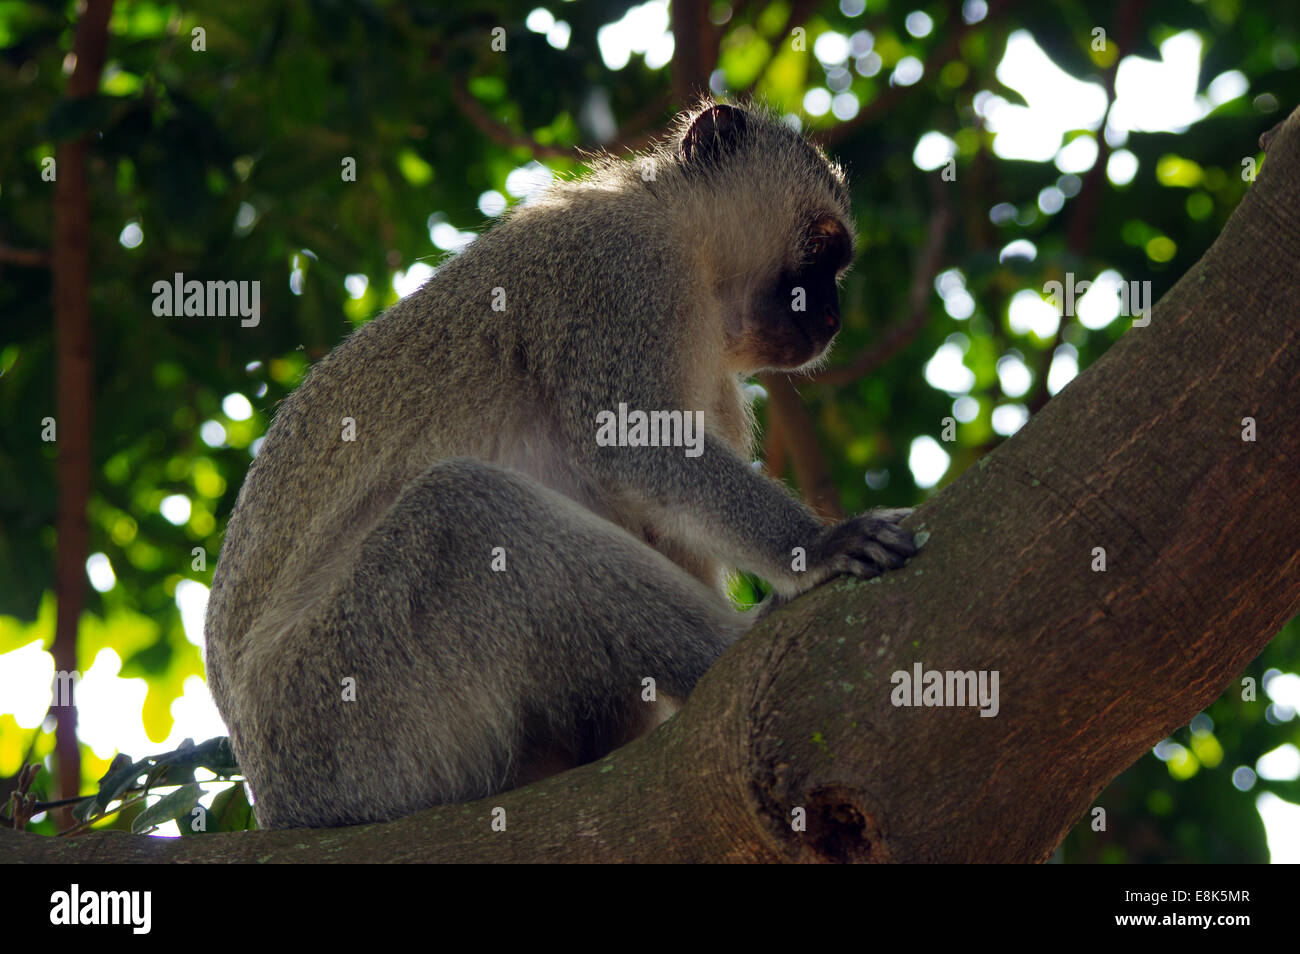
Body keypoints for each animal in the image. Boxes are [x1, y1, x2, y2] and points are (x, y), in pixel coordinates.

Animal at [203, 100, 916, 829]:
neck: (690, 251)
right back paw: (732, 648)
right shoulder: (617, 269)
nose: (831, 318)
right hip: (345, 714)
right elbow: (637, 450)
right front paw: (820, 545)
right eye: (823, 249)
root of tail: (279, 799)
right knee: (463, 508)